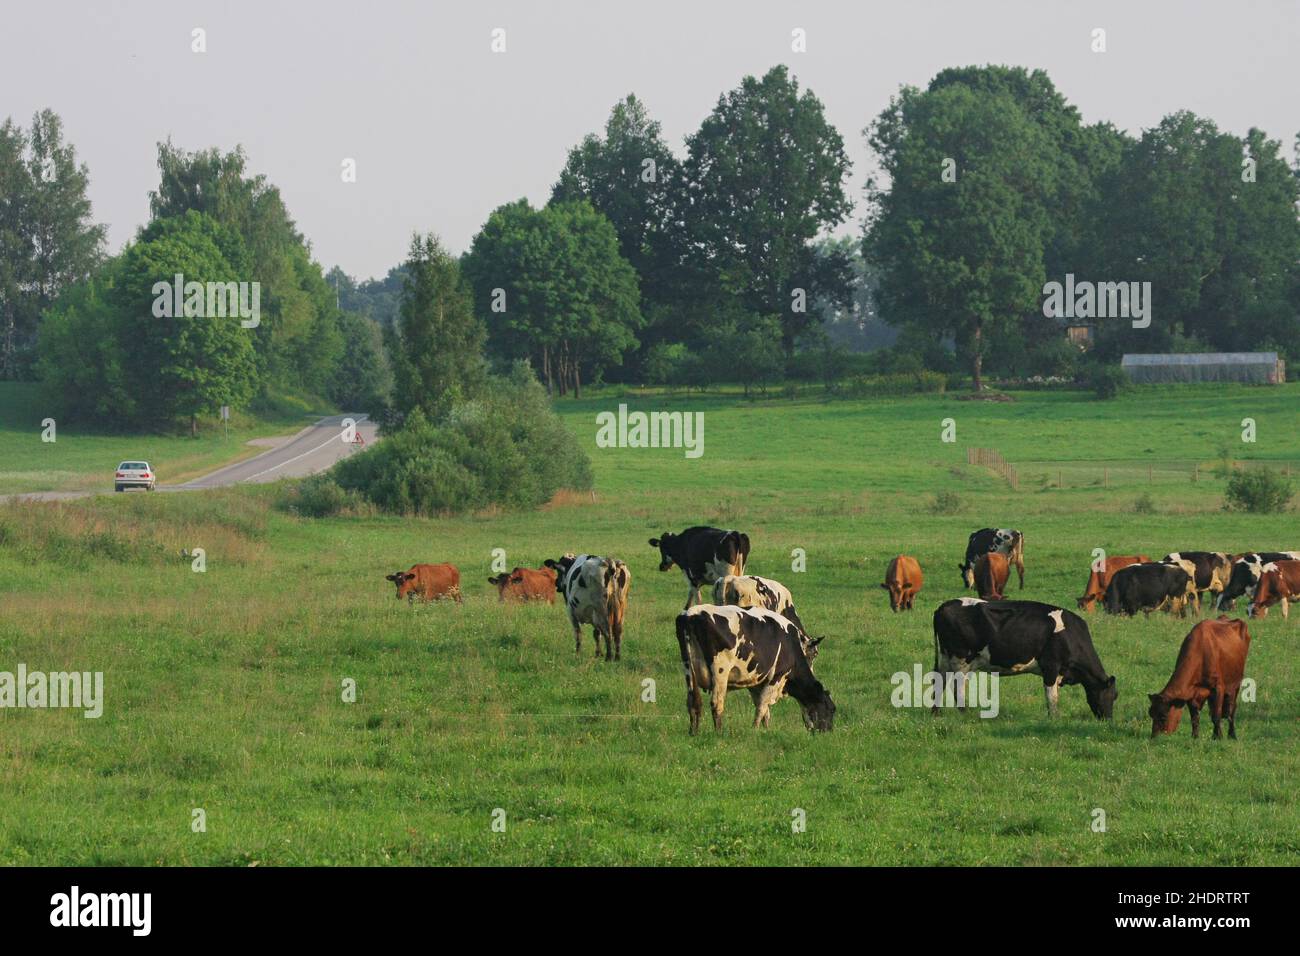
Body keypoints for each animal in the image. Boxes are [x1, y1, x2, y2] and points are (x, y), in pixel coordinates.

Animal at [674, 605, 833, 734]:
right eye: (831, 708)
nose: (828, 732)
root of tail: (691, 614)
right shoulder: (776, 677)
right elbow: (762, 707)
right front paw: (755, 730)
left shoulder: (756, 682)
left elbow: (764, 710)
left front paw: (766, 730)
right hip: (720, 671)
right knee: (716, 703)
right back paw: (718, 733)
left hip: (688, 668)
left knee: (693, 702)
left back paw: (694, 733)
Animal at [932, 599, 1117, 718]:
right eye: (1113, 696)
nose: (1108, 720)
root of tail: (943, 606)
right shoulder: (1051, 666)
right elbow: (1051, 696)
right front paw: (1054, 719)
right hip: (961, 659)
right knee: (958, 687)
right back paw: (965, 713)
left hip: (945, 659)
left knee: (940, 682)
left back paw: (936, 712)